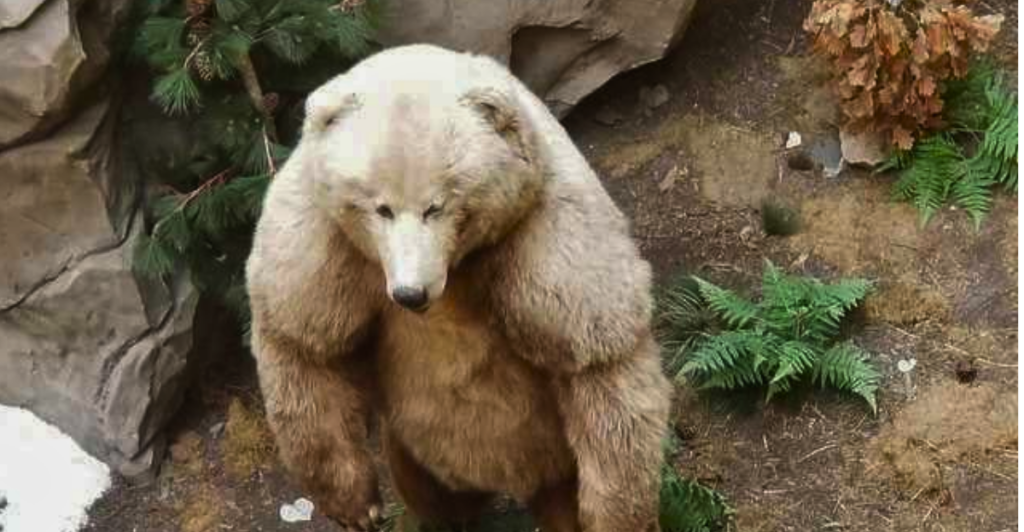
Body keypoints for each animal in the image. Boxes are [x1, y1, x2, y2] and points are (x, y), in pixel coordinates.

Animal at [245, 44, 672, 532]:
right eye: (381, 208)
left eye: (437, 206)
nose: (410, 293)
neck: (457, 266)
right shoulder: (325, 240)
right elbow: (303, 342)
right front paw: (355, 505)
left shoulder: (542, 232)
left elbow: (595, 359)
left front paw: (617, 513)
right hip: (416, 447)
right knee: (428, 493)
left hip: (553, 456)